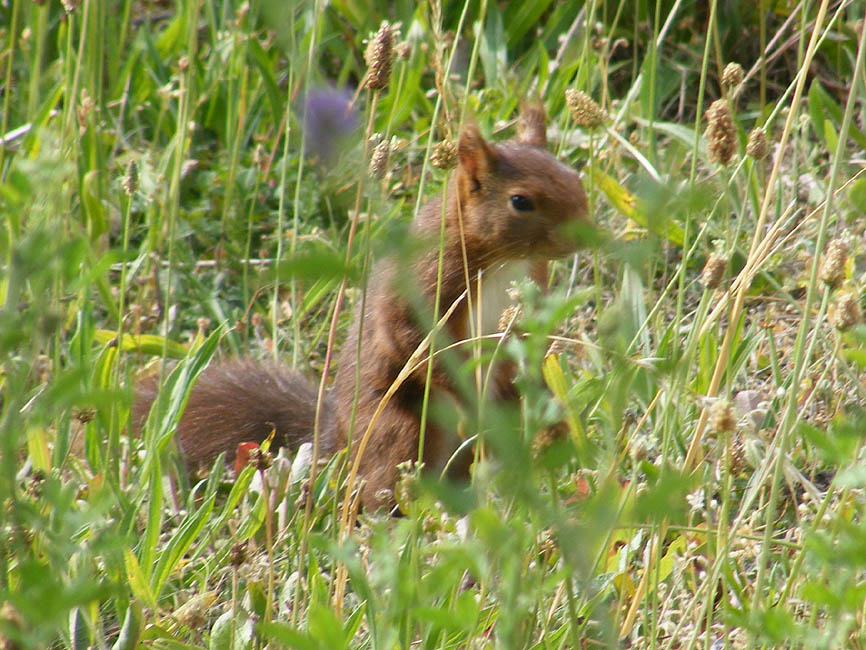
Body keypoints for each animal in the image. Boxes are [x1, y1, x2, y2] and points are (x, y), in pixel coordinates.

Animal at [133, 105, 589, 510]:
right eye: (520, 201)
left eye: (575, 177)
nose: (587, 233)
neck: (502, 260)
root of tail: (336, 441)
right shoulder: (423, 284)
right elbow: (416, 341)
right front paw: (467, 395)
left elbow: (529, 342)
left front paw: (531, 387)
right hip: (399, 427)